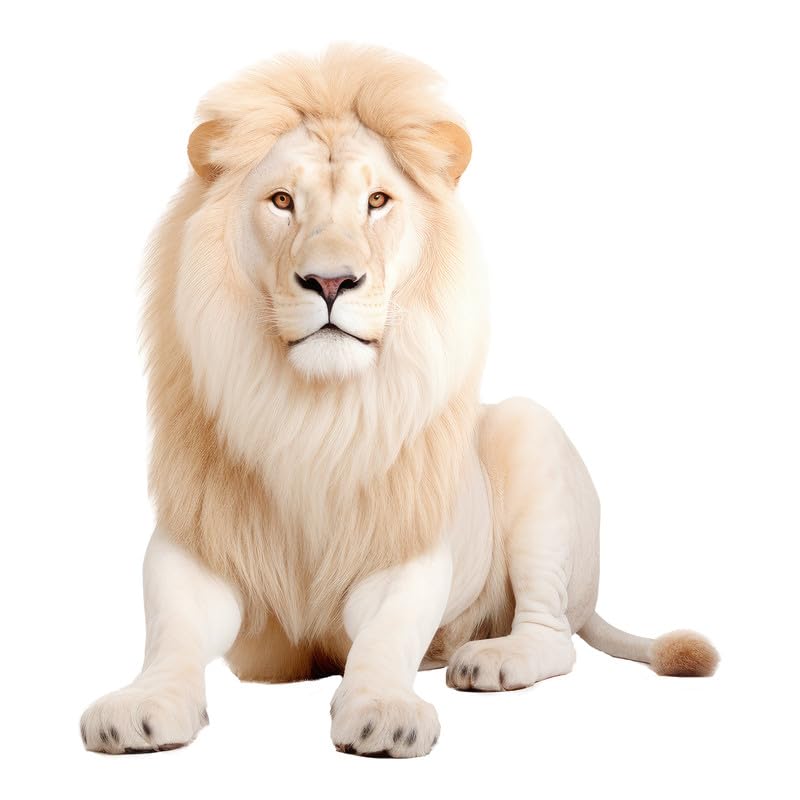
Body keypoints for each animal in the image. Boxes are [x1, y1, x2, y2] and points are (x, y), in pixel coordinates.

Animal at [80, 45, 718, 758]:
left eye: (377, 201)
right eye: (282, 201)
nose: (331, 281)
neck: (311, 411)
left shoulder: (401, 544)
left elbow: (386, 638)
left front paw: (384, 712)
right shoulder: (197, 536)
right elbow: (171, 635)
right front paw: (141, 706)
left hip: (530, 432)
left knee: (554, 635)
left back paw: (490, 659)